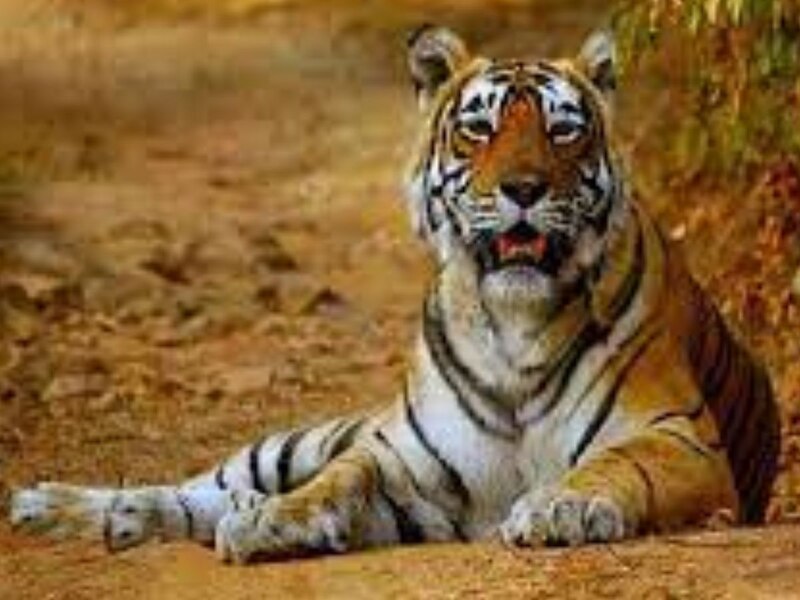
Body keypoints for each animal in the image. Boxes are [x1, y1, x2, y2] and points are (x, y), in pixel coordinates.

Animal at [8, 26, 780, 563]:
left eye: (564, 130)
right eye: (479, 129)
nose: (524, 188)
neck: (515, 324)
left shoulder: (680, 437)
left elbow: (614, 465)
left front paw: (558, 507)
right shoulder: (401, 460)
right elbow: (337, 482)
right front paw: (272, 520)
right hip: (293, 442)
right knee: (201, 485)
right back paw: (56, 507)